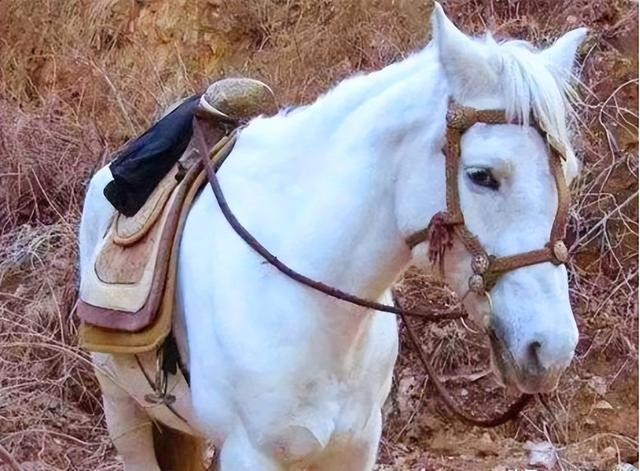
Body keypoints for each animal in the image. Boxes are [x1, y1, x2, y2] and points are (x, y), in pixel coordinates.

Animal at [79, 4, 587, 470]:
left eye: (570, 174)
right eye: (482, 176)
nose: (552, 349)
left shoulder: (357, 444)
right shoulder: (250, 454)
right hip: (123, 410)